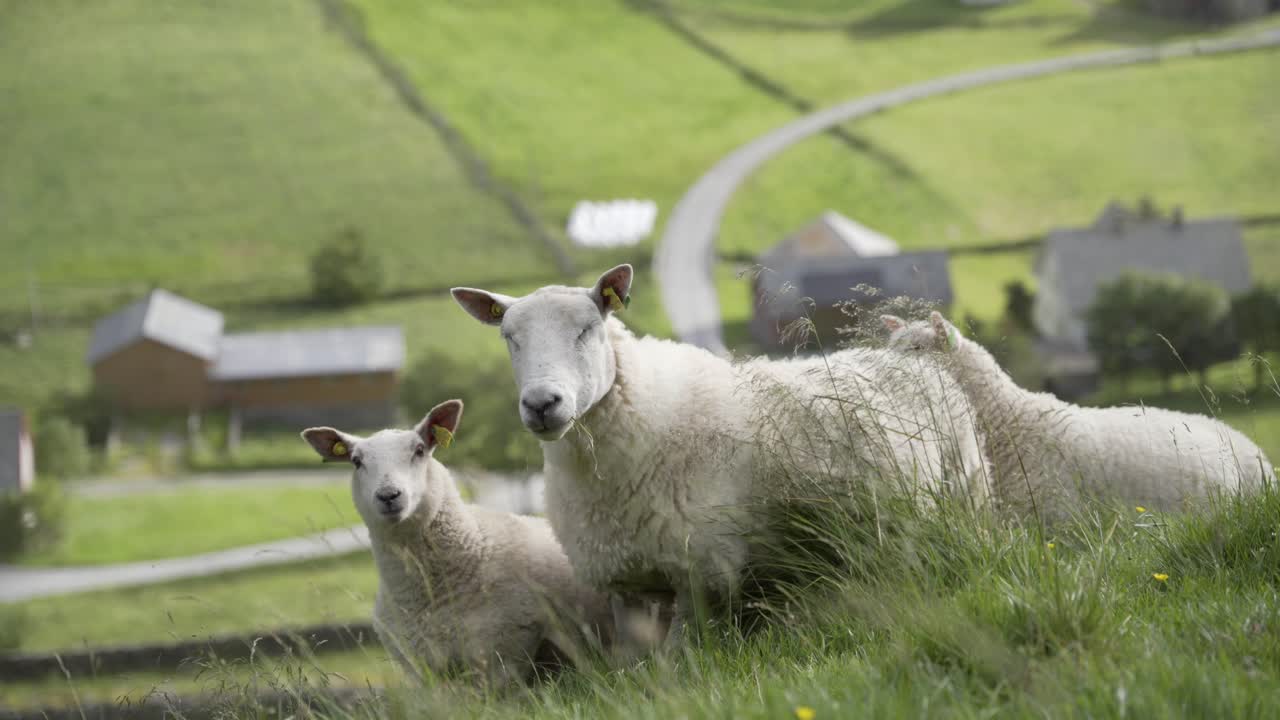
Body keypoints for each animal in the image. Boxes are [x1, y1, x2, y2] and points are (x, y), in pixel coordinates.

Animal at [451, 265, 990, 646]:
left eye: (587, 330)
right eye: (509, 337)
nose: (543, 404)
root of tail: (905, 357)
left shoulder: (703, 572)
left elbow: (685, 664)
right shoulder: (626, 581)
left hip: (962, 496)